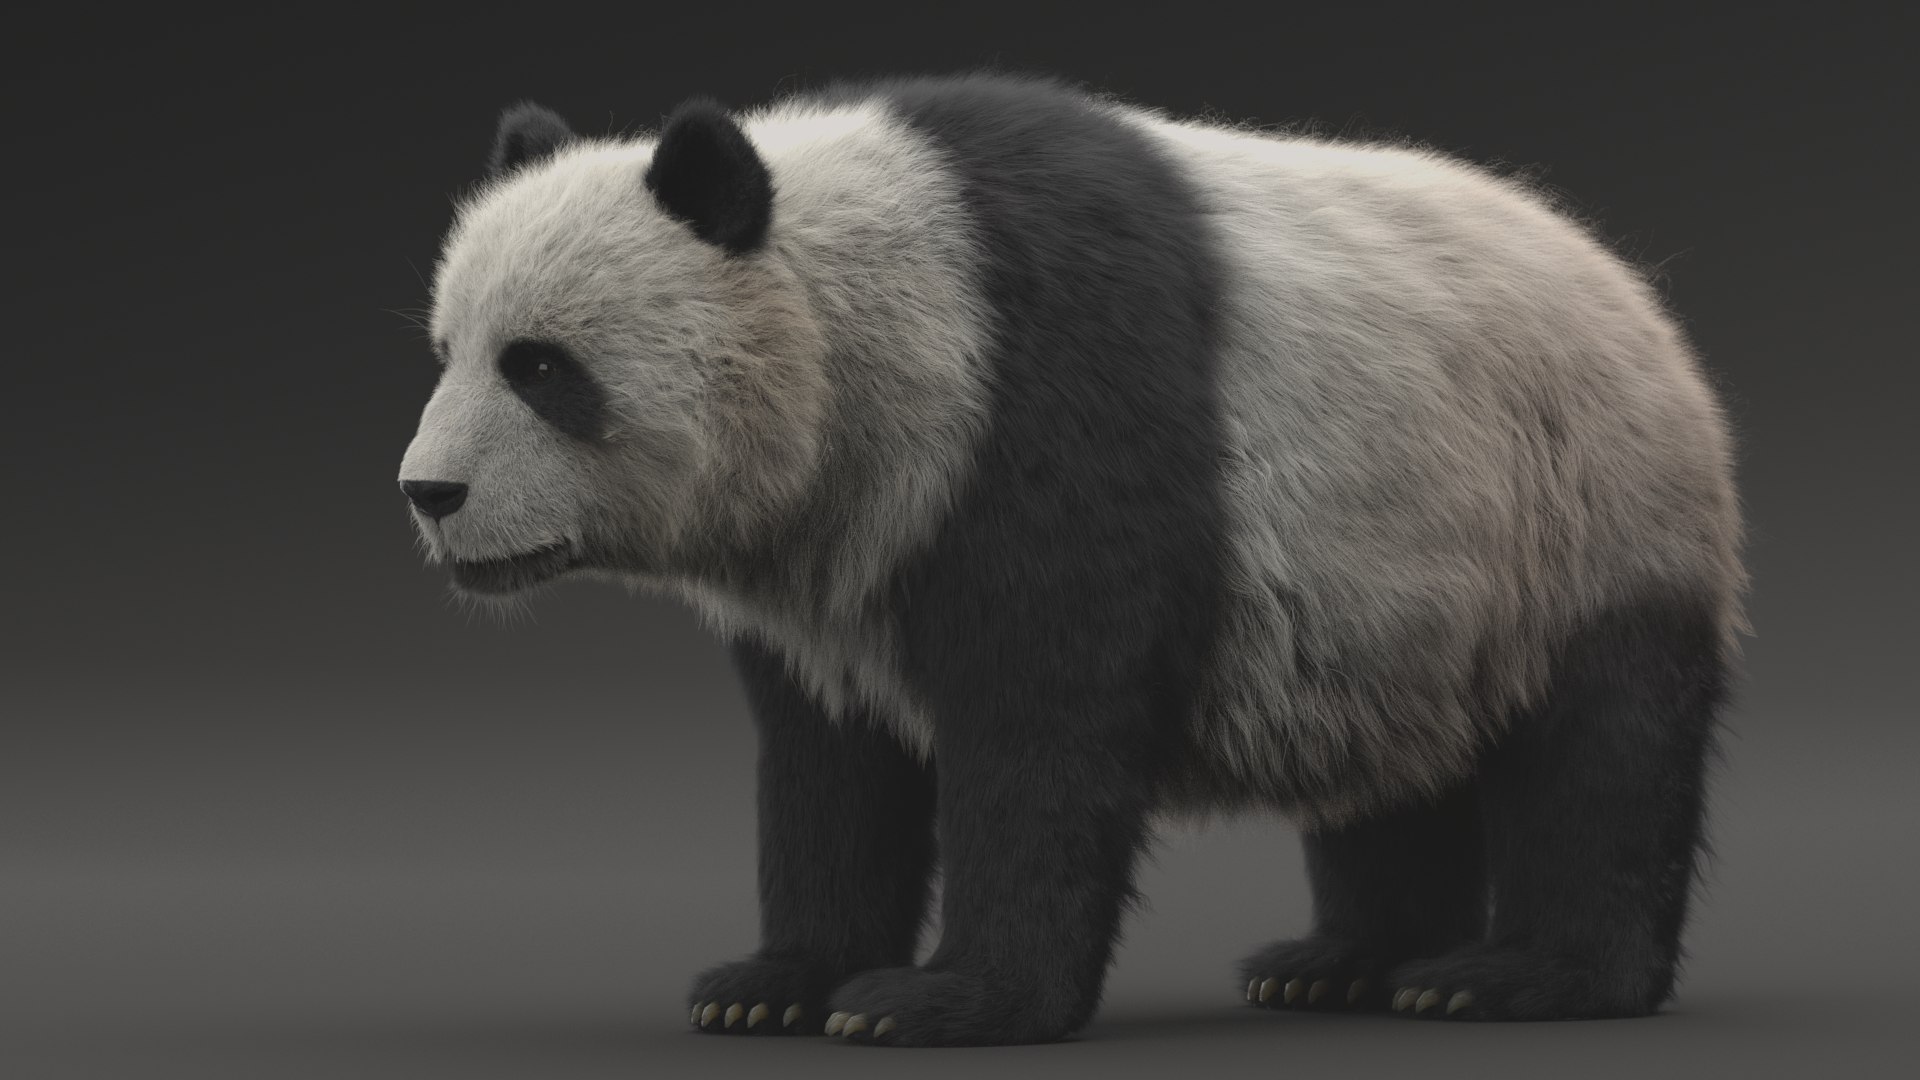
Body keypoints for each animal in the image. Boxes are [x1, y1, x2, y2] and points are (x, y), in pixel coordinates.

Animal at [398, 72, 1747, 1047]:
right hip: (1406, 570)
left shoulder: (1050, 406)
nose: (429, 494)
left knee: (1599, 750)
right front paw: (771, 984)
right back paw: (1343, 966)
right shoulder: (836, 557)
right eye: (449, 352)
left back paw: (1515, 978)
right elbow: (830, 760)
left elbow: (1044, 726)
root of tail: (1639, 297)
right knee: (1385, 752)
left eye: (543, 368)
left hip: (1579, 509)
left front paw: (944, 1003)